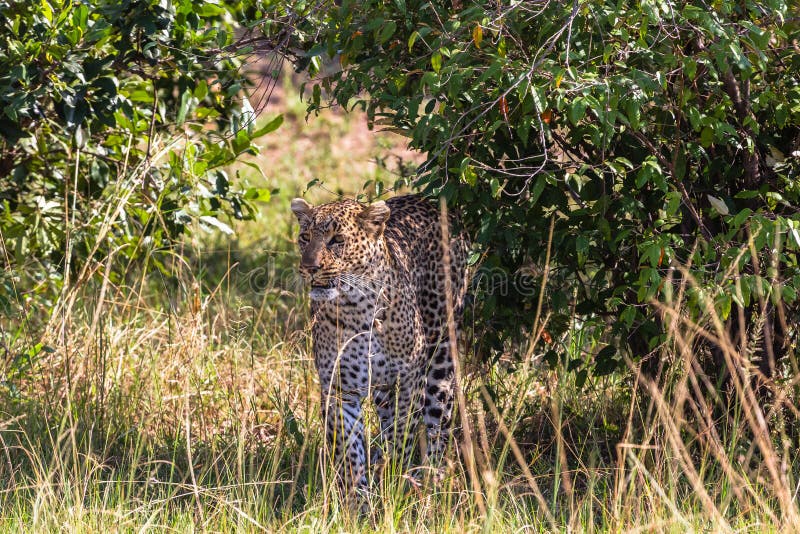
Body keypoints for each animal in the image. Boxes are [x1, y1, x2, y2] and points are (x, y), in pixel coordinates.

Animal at [290, 194, 469, 496]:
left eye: (337, 240)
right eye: (305, 237)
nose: (310, 268)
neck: (354, 307)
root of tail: (428, 200)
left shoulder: (408, 381)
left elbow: (403, 434)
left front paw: (395, 484)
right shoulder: (341, 390)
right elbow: (350, 454)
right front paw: (359, 500)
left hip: (441, 353)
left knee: (438, 422)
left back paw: (432, 480)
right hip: (382, 388)